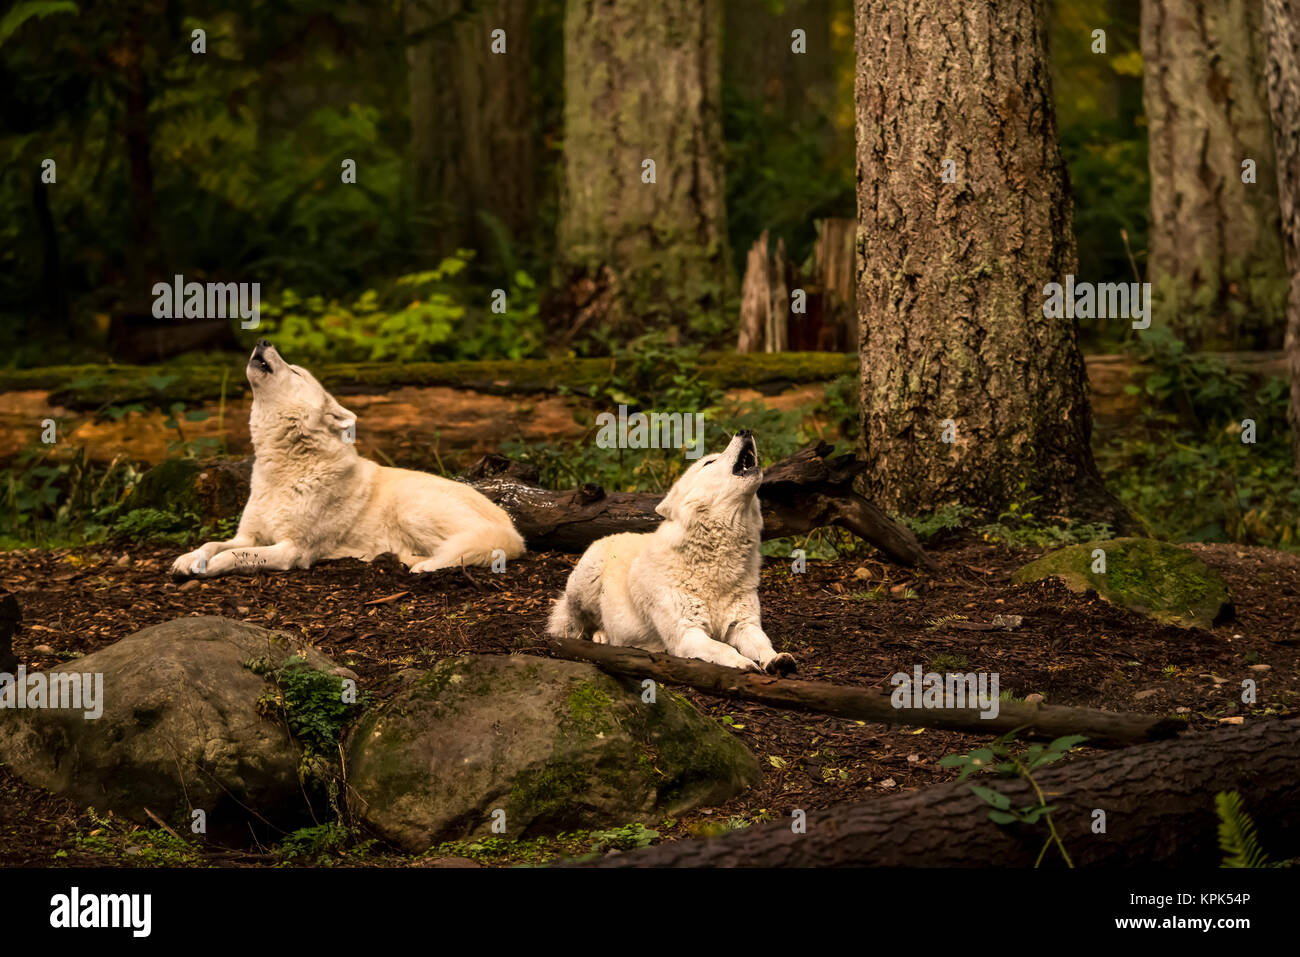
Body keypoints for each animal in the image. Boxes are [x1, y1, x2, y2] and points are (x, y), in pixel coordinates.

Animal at [171, 340, 525, 579]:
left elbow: (236, 555)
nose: (263, 341)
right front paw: (189, 559)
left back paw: (419, 565)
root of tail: (515, 533)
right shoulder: (247, 534)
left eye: (296, 370)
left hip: (413, 508)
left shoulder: (290, 550)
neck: (286, 470)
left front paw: (210, 566)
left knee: (454, 553)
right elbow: (214, 543)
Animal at [547, 430, 795, 674]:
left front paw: (775, 660)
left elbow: (763, 644)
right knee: (579, 625)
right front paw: (744, 663)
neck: (716, 563)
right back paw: (602, 635)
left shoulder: (744, 625)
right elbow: (724, 648)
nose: (744, 431)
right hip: (585, 583)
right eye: (709, 462)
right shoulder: (687, 634)